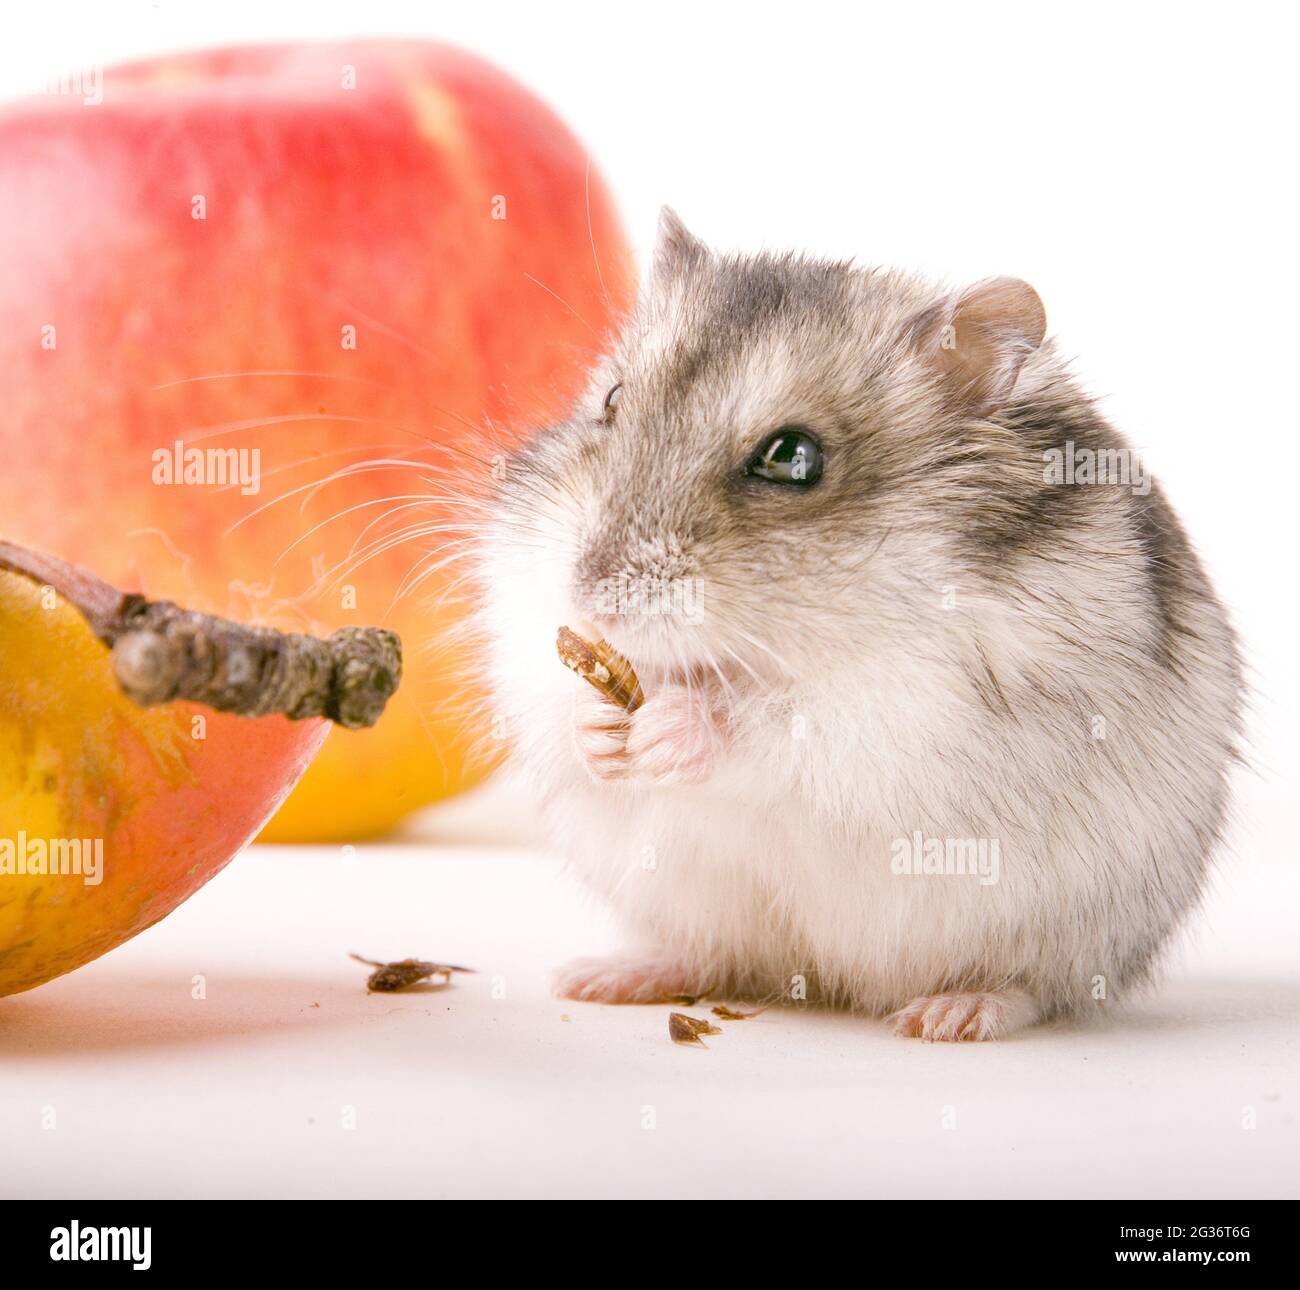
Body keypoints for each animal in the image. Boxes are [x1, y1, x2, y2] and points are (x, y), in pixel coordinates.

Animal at [480, 208, 1243, 1041]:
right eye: (613, 402)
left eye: (792, 457)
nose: (590, 598)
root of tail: (836, 984)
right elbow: (555, 702)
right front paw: (601, 733)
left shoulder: (919, 715)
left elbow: (784, 726)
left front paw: (671, 728)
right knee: (711, 955)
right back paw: (602, 977)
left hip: (1068, 929)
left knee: (1032, 986)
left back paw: (950, 1014)